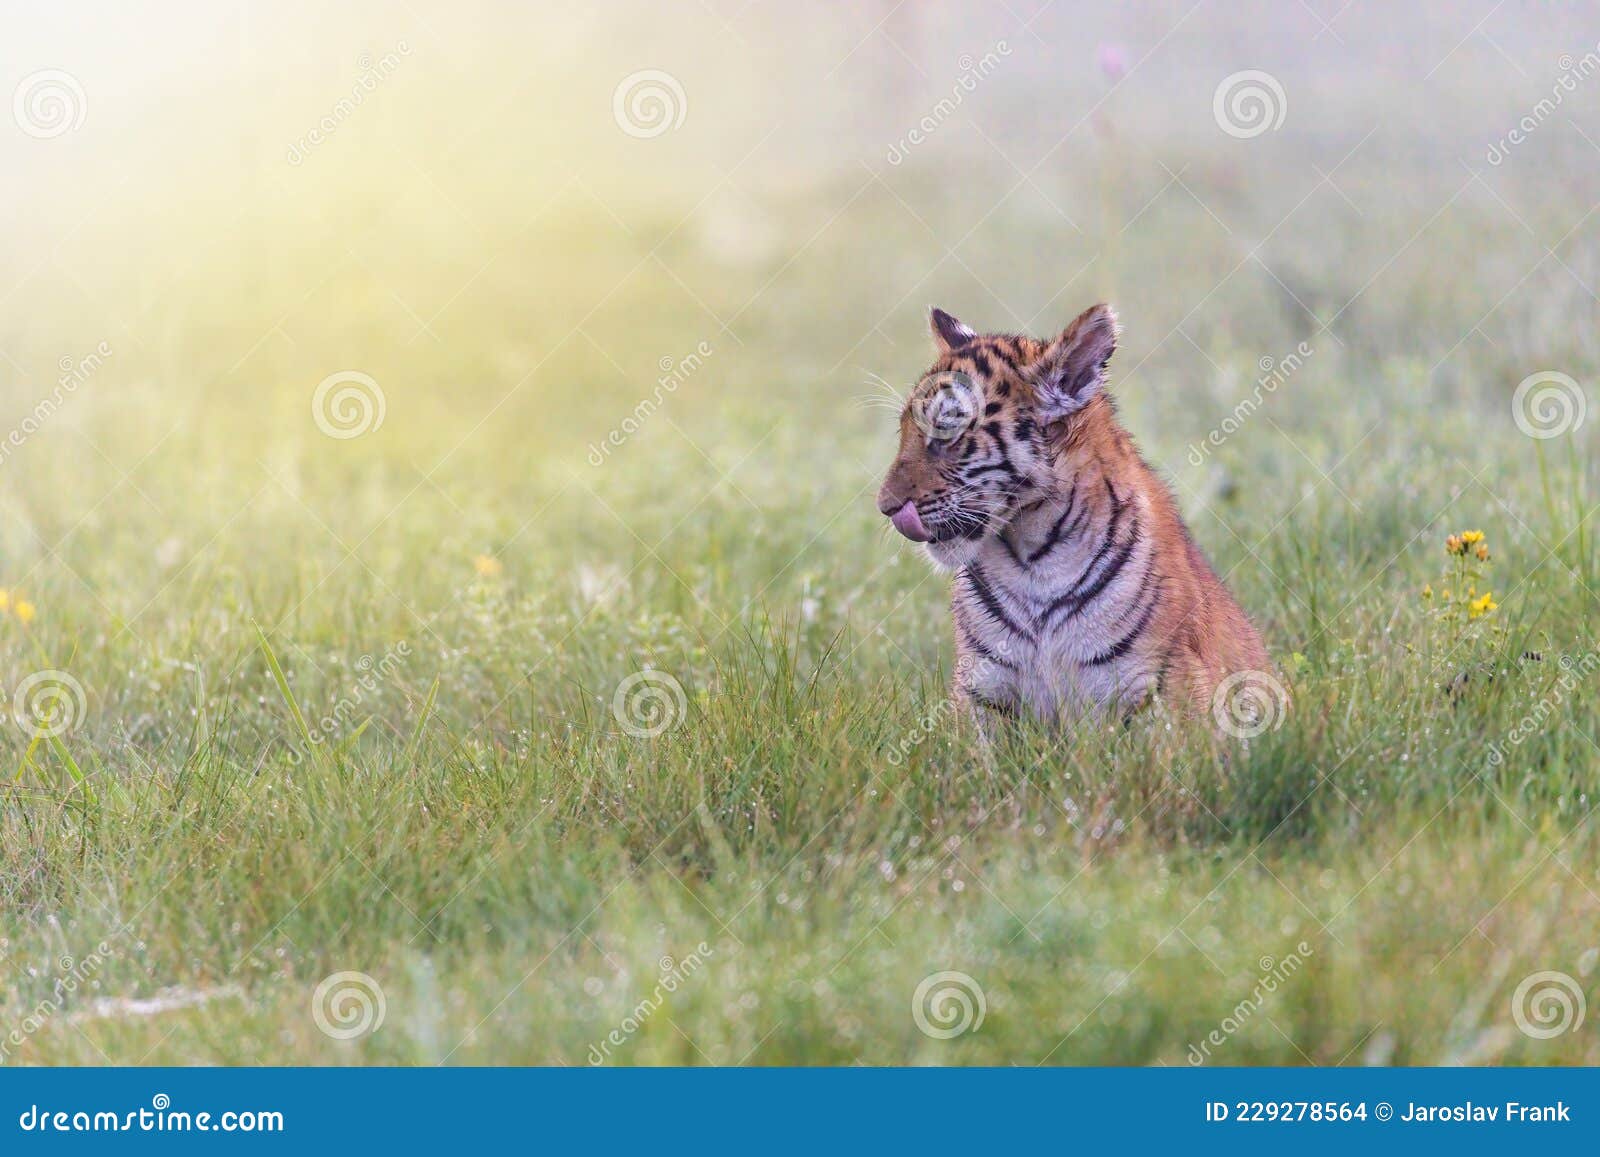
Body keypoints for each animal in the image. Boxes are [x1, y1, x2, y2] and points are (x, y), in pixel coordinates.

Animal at [876, 303, 1273, 728]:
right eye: (903, 431)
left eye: (946, 432)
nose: (886, 507)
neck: (1032, 561)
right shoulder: (981, 693)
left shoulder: (1162, 686)